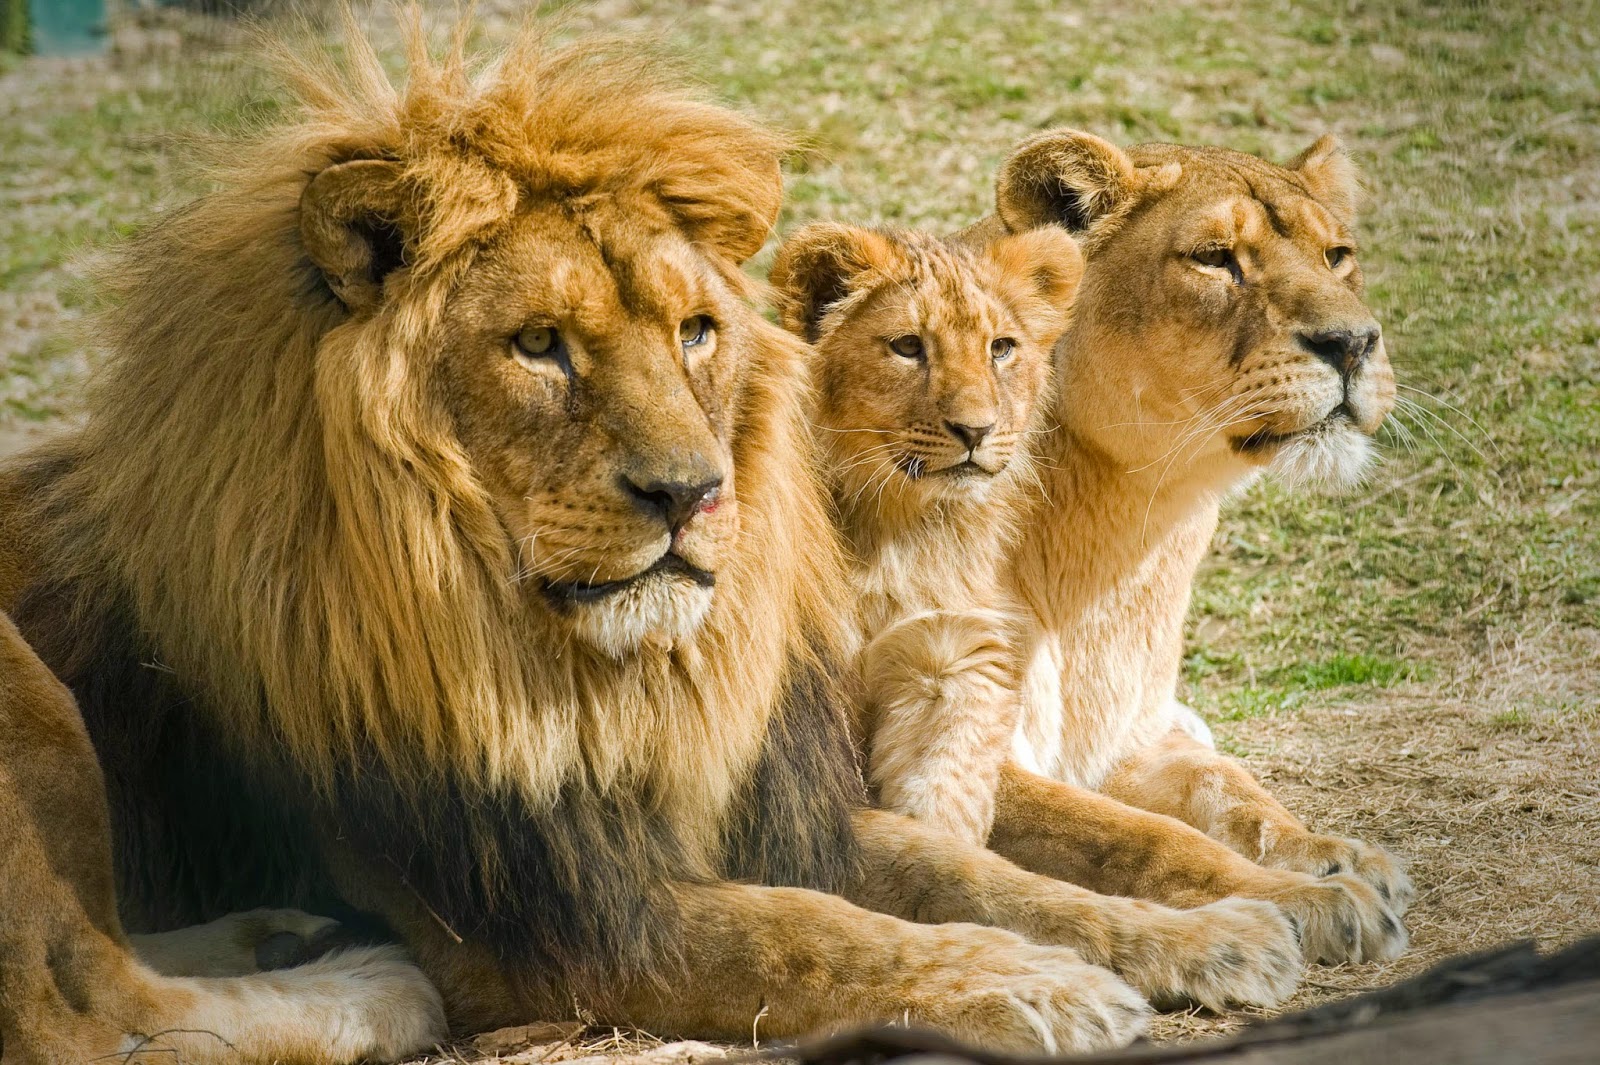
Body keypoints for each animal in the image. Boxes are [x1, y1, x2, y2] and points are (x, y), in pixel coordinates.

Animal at [0, 21, 1318, 1062]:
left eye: (694, 330)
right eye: (538, 345)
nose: (693, 494)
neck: (601, 678)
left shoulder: (776, 812)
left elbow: (975, 873)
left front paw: (1214, 932)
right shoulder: (541, 919)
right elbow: (798, 936)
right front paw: (1033, 985)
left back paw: (278, 936)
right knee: (86, 1009)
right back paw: (365, 985)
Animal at [946, 129, 1413, 964]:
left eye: (1338, 255)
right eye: (1214, 258)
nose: (1355, 342)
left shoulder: (1132, 735)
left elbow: (1230, 788)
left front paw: (1333, 853)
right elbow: (1141, 837)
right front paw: (1308, 898)